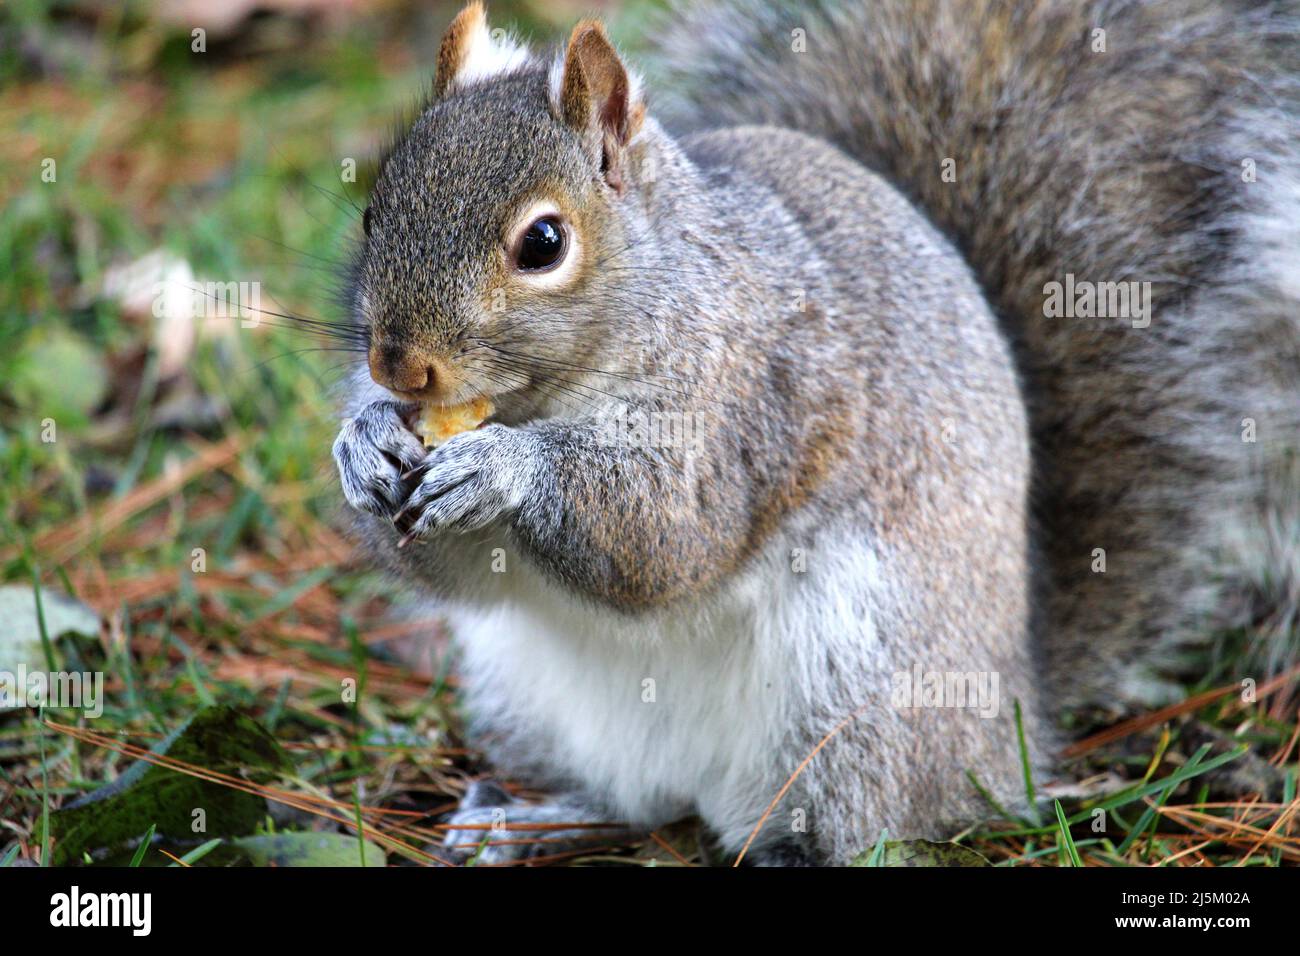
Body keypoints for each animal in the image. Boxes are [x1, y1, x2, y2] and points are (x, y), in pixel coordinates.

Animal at [331, 0, 1300, 865]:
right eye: (375, 211)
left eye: (543, 243)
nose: (399, 368)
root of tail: (1016, 712)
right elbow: (463, 576)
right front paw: (364, 441)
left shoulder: (752, 399)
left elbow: (668, 537)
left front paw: (501, 468)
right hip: (536, 694)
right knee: (643, 806)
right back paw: (529, 822)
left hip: (860, 695)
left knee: (848, 821)